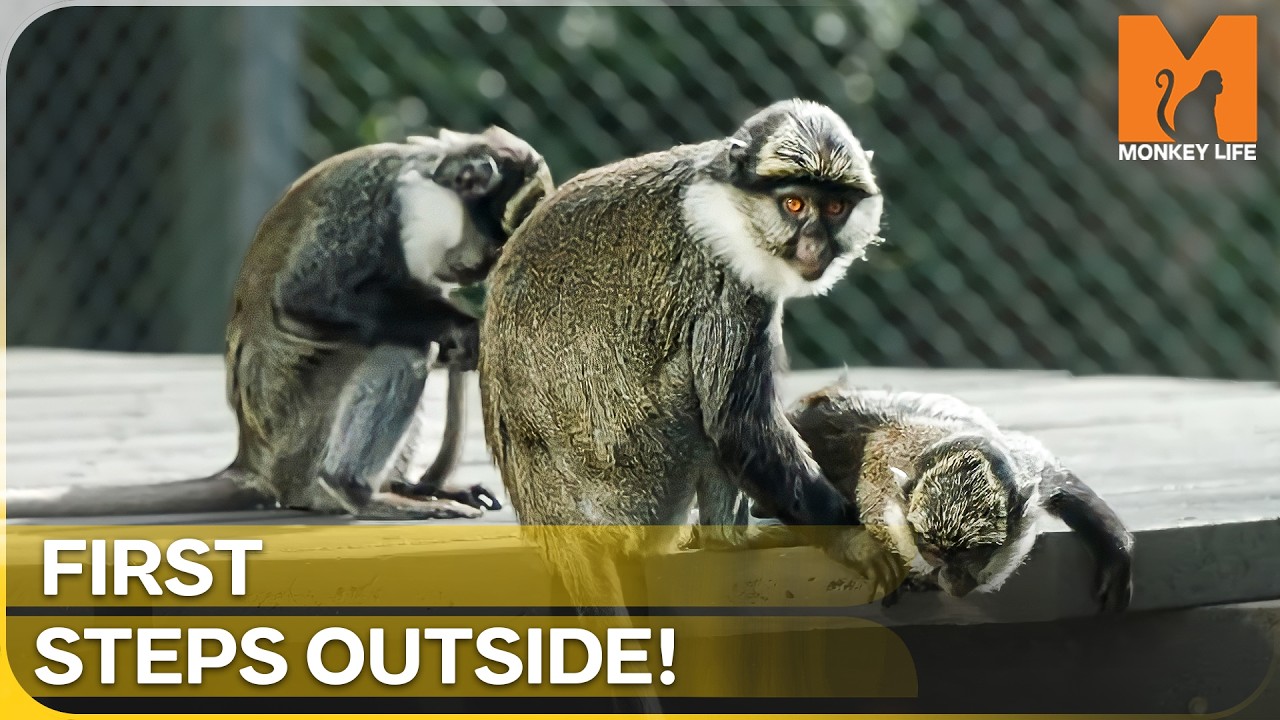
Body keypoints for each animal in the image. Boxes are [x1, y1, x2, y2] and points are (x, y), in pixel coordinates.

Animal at [8, 127, 553, 521]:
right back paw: (356, 489)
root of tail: (254, 459)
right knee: (408, 347)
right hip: (299, 436)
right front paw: (465, 326)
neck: (428, 187)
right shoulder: (379, 213)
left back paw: (404, 484)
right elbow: (303, 298)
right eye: (498, 238)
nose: (483, 265)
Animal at [479, 99, 898, 612]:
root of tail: (557, 527)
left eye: (835, 207)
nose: (814, 244)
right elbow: (738, 426)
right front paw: (852, 540)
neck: (724, 197)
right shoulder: (728, 280)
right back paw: (725, 539)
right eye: (794, 204)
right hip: (641, 482)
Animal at [782, 380, 1134, 613]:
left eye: (974, 553)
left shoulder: (1025, 466)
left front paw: (1113, 545)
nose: (955, 583)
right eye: (933, 551)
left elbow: (1051, 472)